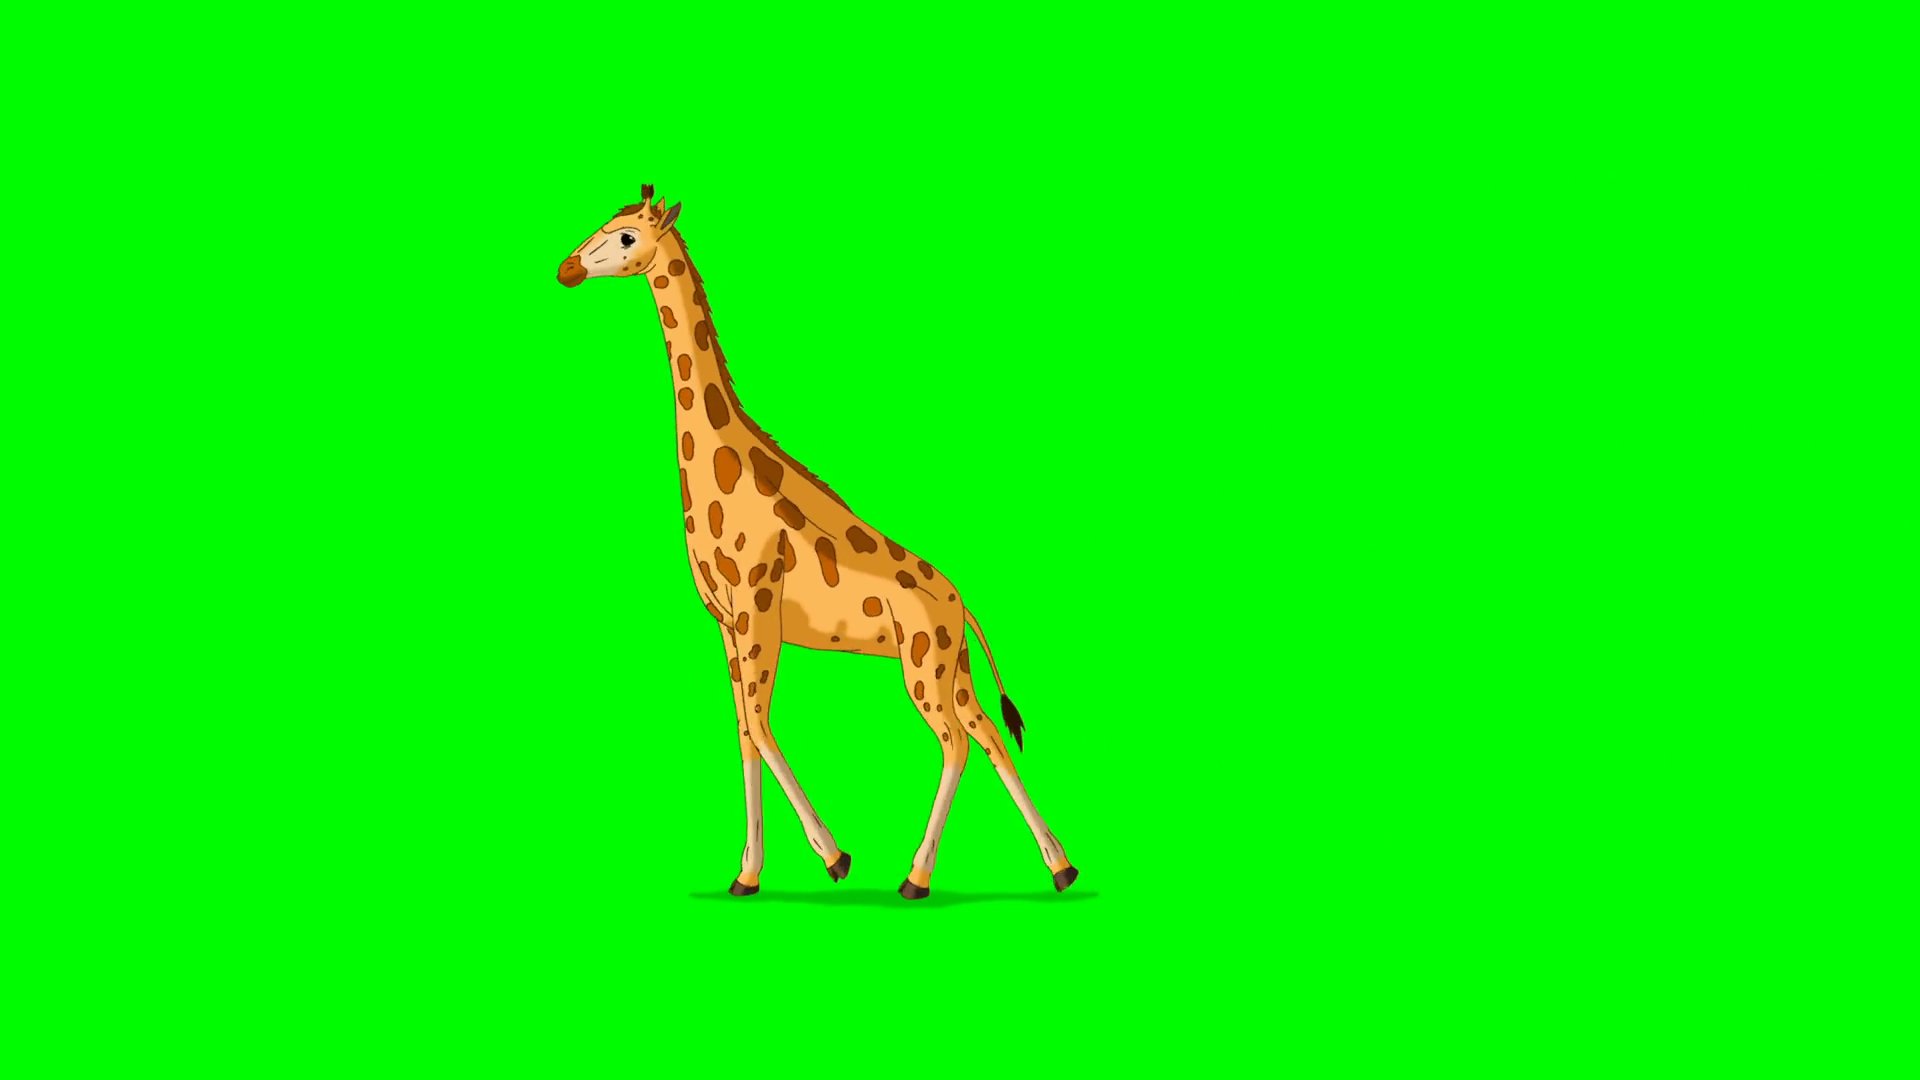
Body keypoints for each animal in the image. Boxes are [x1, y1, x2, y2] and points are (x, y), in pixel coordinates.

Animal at [556, 188, 1078, 899]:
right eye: (605, 225)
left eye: (628, 238)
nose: (567, 269)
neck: (726, 462)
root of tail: (960, 604)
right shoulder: (726, 623)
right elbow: (743, 732)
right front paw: (747, 874)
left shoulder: (757, 610)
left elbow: (761, 725)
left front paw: (835, 857)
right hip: (952, 666)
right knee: (990, 735)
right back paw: (1059, 867)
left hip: (922, 663)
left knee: (955, 742)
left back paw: (916, 877)